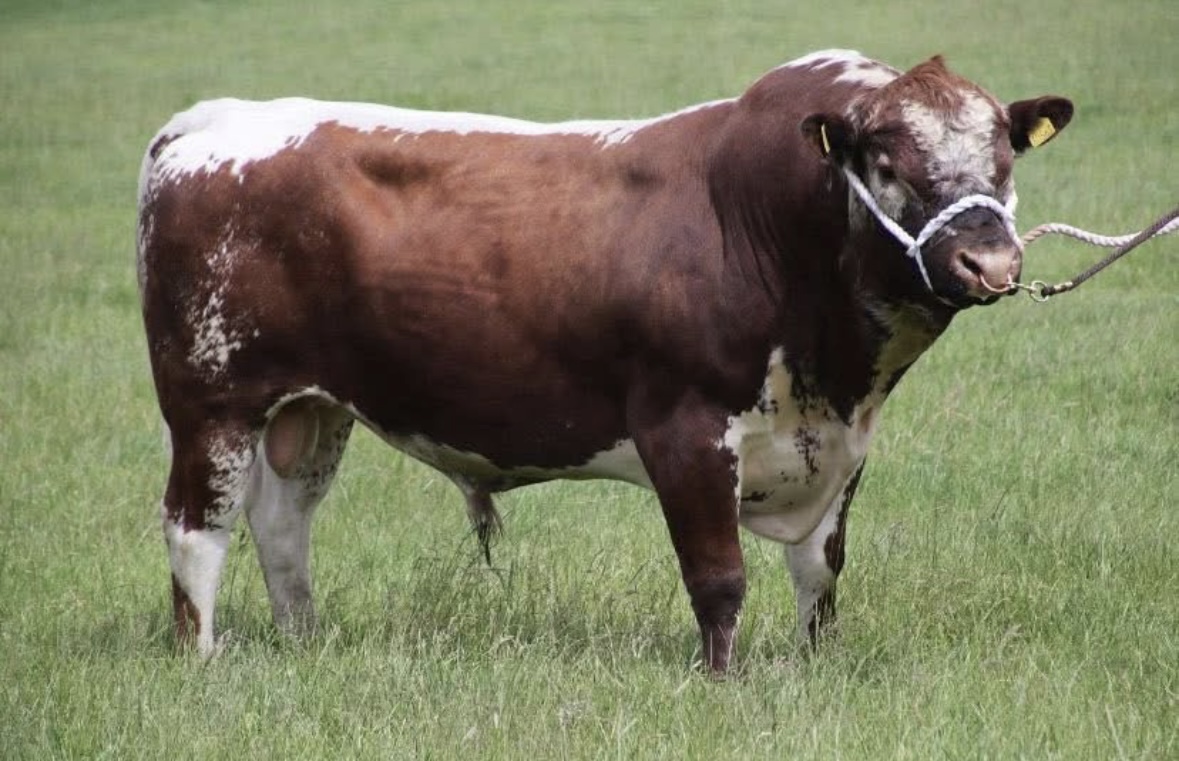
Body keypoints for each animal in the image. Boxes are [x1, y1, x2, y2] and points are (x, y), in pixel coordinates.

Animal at [137, 49, 1072, 673]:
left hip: (311, 405)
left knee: (283, 522)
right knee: (196, 528)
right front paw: (723, 683)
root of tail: (214, 120)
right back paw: (202, 660)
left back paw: (301, 639)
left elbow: (820, 571)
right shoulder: (684, 429)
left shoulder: (840, 443)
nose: (989, 261)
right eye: (886, 163)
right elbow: (718, 577)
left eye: (1002, 160)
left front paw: (813, 667)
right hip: (211, 400)